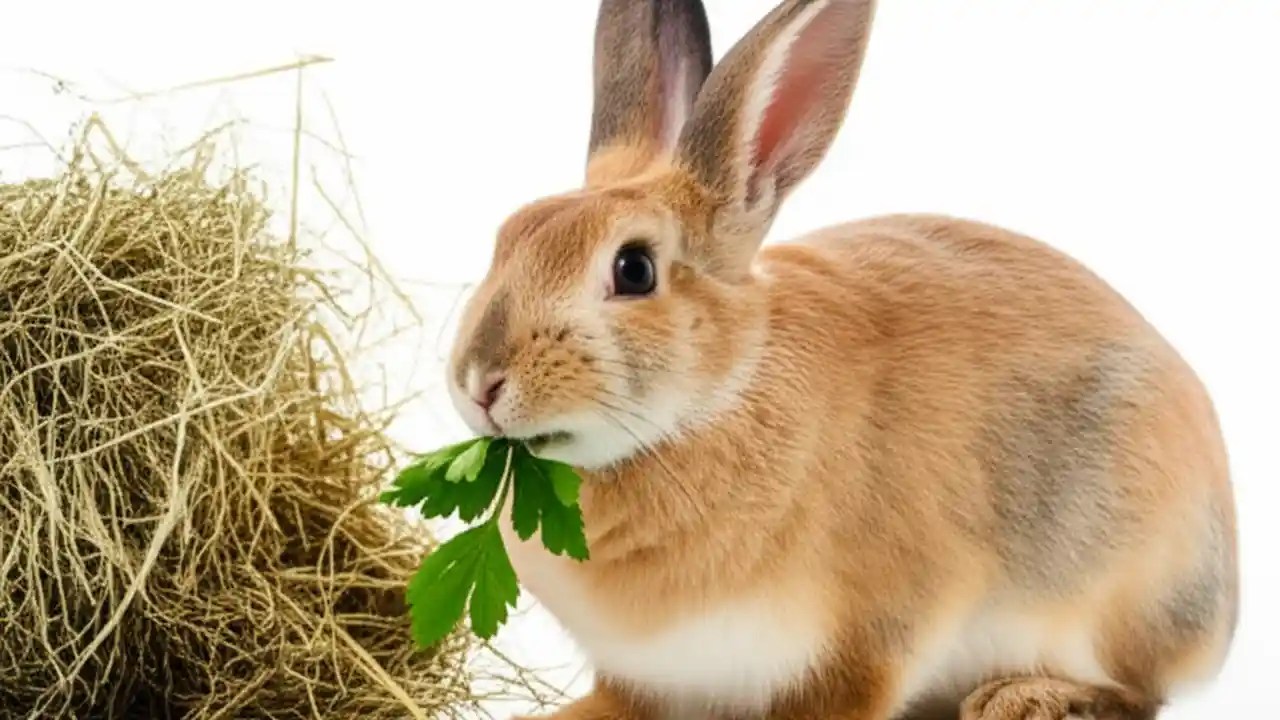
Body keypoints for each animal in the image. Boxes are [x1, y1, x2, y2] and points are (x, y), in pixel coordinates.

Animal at [443, 0, 1239, 718]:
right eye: (509, 234)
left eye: (634, 270)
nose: (481, 382)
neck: (711, 407)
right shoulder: (646, 678)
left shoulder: (870, 643)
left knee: (1140, 689)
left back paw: (1025, 698)